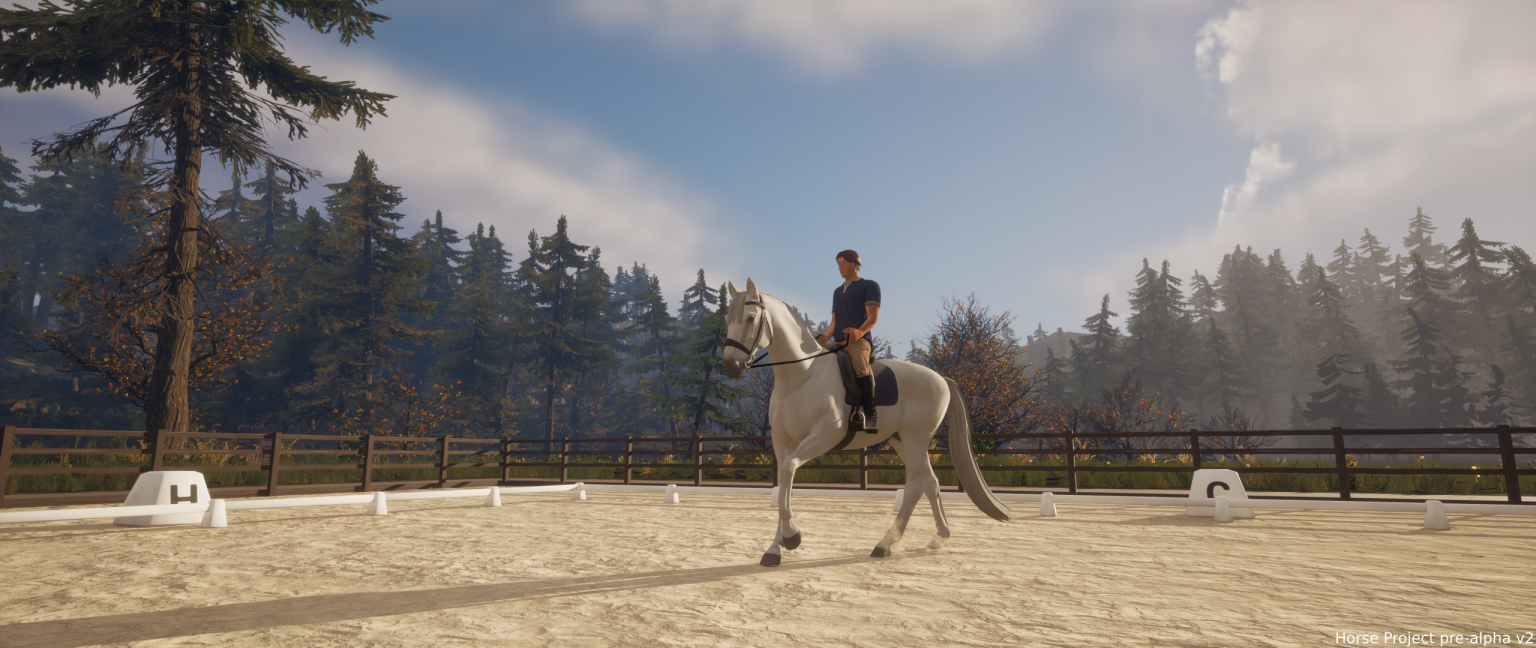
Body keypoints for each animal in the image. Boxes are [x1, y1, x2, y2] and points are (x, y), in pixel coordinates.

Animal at [719, 279, 1011, 567]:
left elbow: (790, 470)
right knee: (930, 482)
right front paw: (774, 549)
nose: (732, 366)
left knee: (915, 486)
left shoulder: (824, 436)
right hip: (902, 441)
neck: (802, 377)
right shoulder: (782, 444)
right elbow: (784, 486)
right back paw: (939, 536)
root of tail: (942, 379)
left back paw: (885, 544)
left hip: (916, 440)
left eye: (751, 318)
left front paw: (792, 537)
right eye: (727, 318)